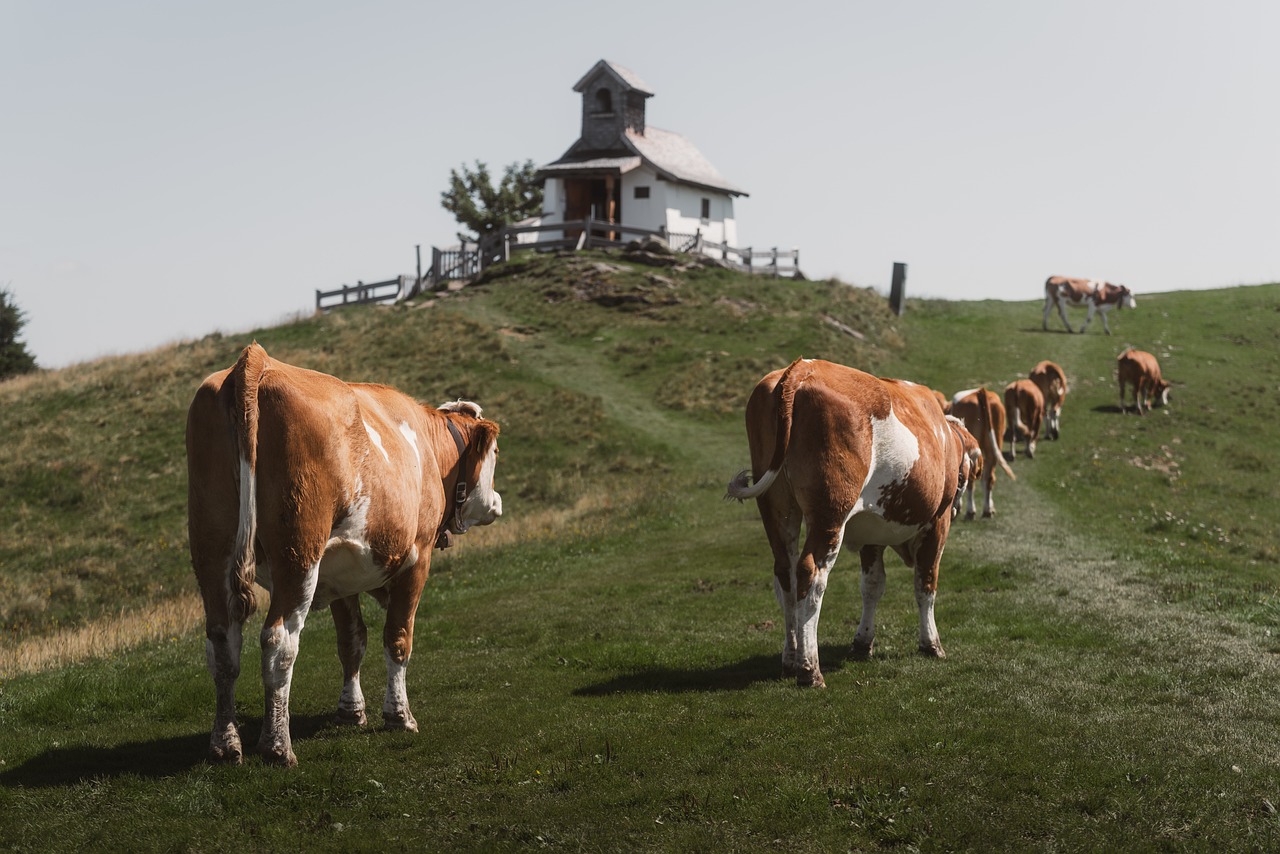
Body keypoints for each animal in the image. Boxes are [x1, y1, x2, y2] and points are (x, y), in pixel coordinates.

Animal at [186, 342, 503, 766]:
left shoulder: (339, 572)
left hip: (212, 548)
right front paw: (399, 716)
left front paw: (351, 711)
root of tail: (257, 360)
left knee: (222, 643)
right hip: (299, 554)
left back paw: (225, 744)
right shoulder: (416, 559)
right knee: (279, 641)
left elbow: (352, 640)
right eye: (496, 452)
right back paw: (277, 746)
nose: (497, 502)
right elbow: (398, 638)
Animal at [725, 358, 980, 688]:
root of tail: (801, 368)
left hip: (777, 507)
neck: (945, 438)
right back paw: (809, 669)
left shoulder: (872, 530)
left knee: (786, 575)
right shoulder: (938, 523)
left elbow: (872, 585)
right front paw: (931, 644)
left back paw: (791, 660)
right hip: (830, 514)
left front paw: (862, 643)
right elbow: (926, 584)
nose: (961, 507)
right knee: (811, 576)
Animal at [950, 387, 1017, 519]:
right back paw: (987, 510)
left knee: (971, 481)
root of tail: (980, 391)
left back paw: (971, 511)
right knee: (989, 478)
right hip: (994, 446)